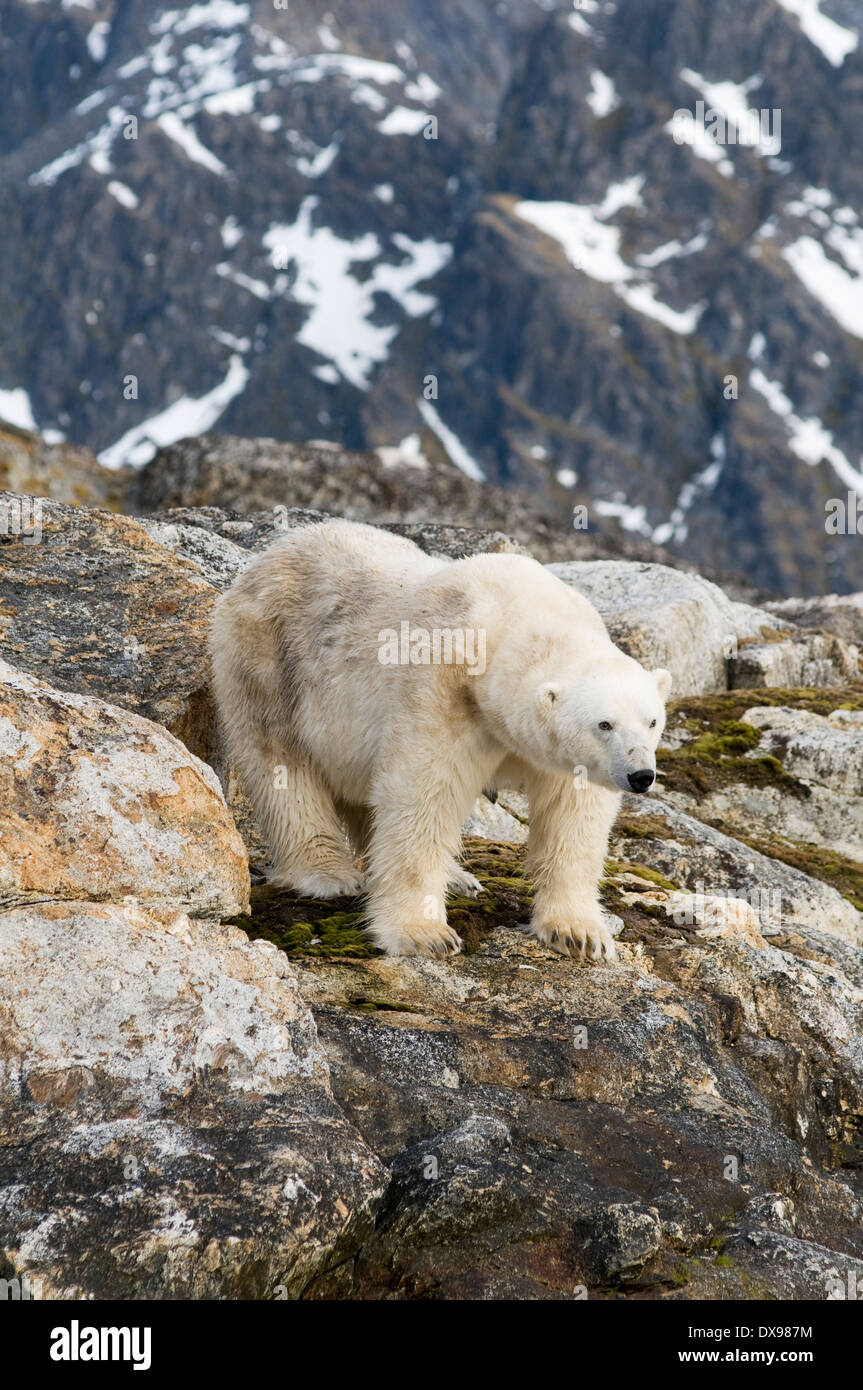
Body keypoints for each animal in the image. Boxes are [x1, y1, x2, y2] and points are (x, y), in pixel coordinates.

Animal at [210, 519, 671, 960]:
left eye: (652, 721)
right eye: (605, 724)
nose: (640, 776)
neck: (509, 615)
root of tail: (267, 556)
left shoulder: (558, 755)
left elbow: (573, 816)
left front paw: (579, 933)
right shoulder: (442, 687)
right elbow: (422, 795)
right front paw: (424, 933)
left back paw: (457, 877)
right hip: (270, 660)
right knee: (282, 764)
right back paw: (328, 872)